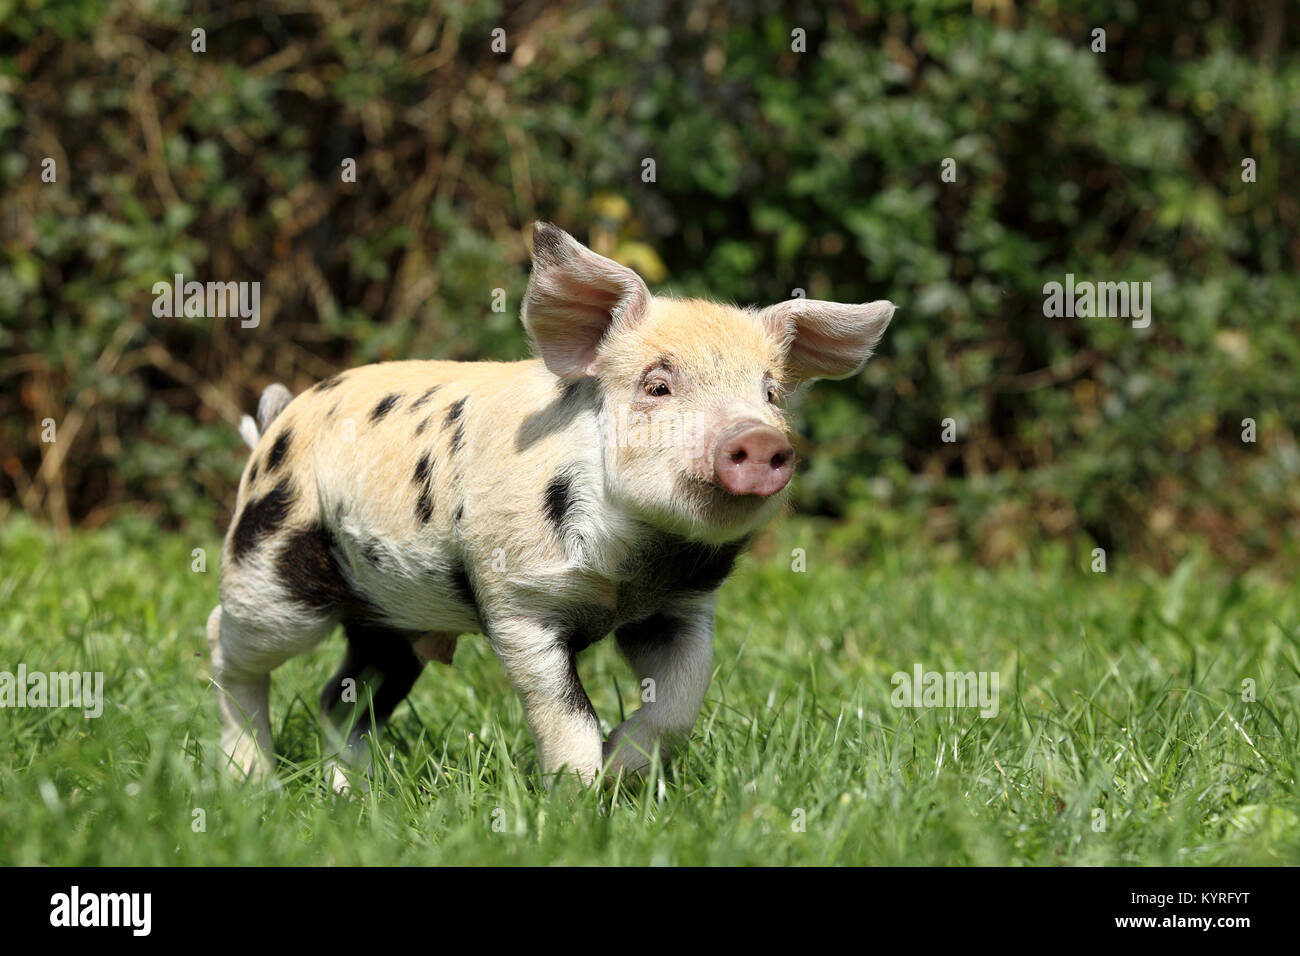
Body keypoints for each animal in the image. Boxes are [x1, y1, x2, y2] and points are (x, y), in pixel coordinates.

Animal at [207, 222, 894, 789]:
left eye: (771, 393)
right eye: (658, 385)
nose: (759, 437)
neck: (629, 573)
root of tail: (275, 420)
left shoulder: (683, 608)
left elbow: (680, 700)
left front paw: (621, 770)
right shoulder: (517, 599)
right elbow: (565, 713)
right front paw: (579, 799)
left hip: (390, 619)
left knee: (341, 697)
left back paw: (356, 793)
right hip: (275, 562)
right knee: (225, 644)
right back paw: (250, 786)